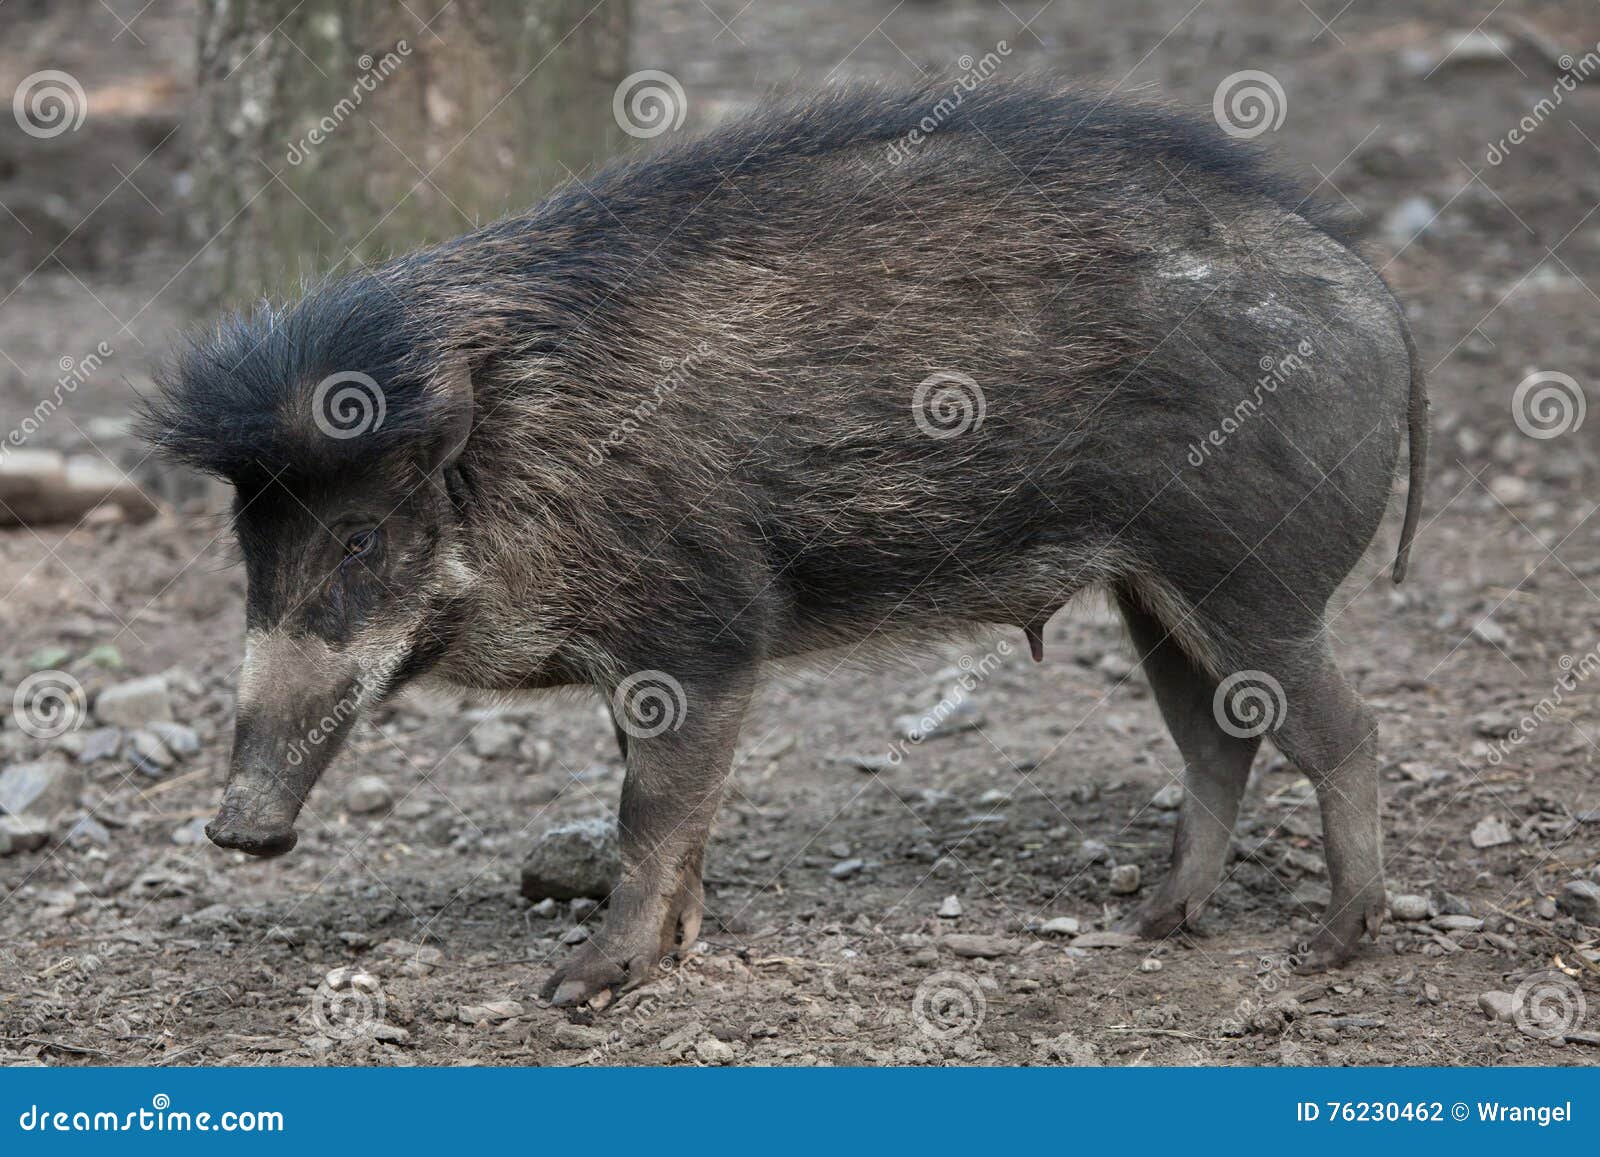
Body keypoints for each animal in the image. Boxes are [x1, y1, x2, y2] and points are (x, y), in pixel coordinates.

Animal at [141, 80, 1427, 1006]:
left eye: (361, 536)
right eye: (249, 543)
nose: (237, 828)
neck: (523, 453)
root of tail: (1373, 292)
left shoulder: (704, 629)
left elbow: (648, 814)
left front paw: (579, 987)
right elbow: (677, 812)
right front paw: (673, 950)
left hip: (1250, 573)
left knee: (1347, 731)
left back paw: (1328, 947)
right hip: (1151, 590)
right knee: (1219, 742)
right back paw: (1151, 920)